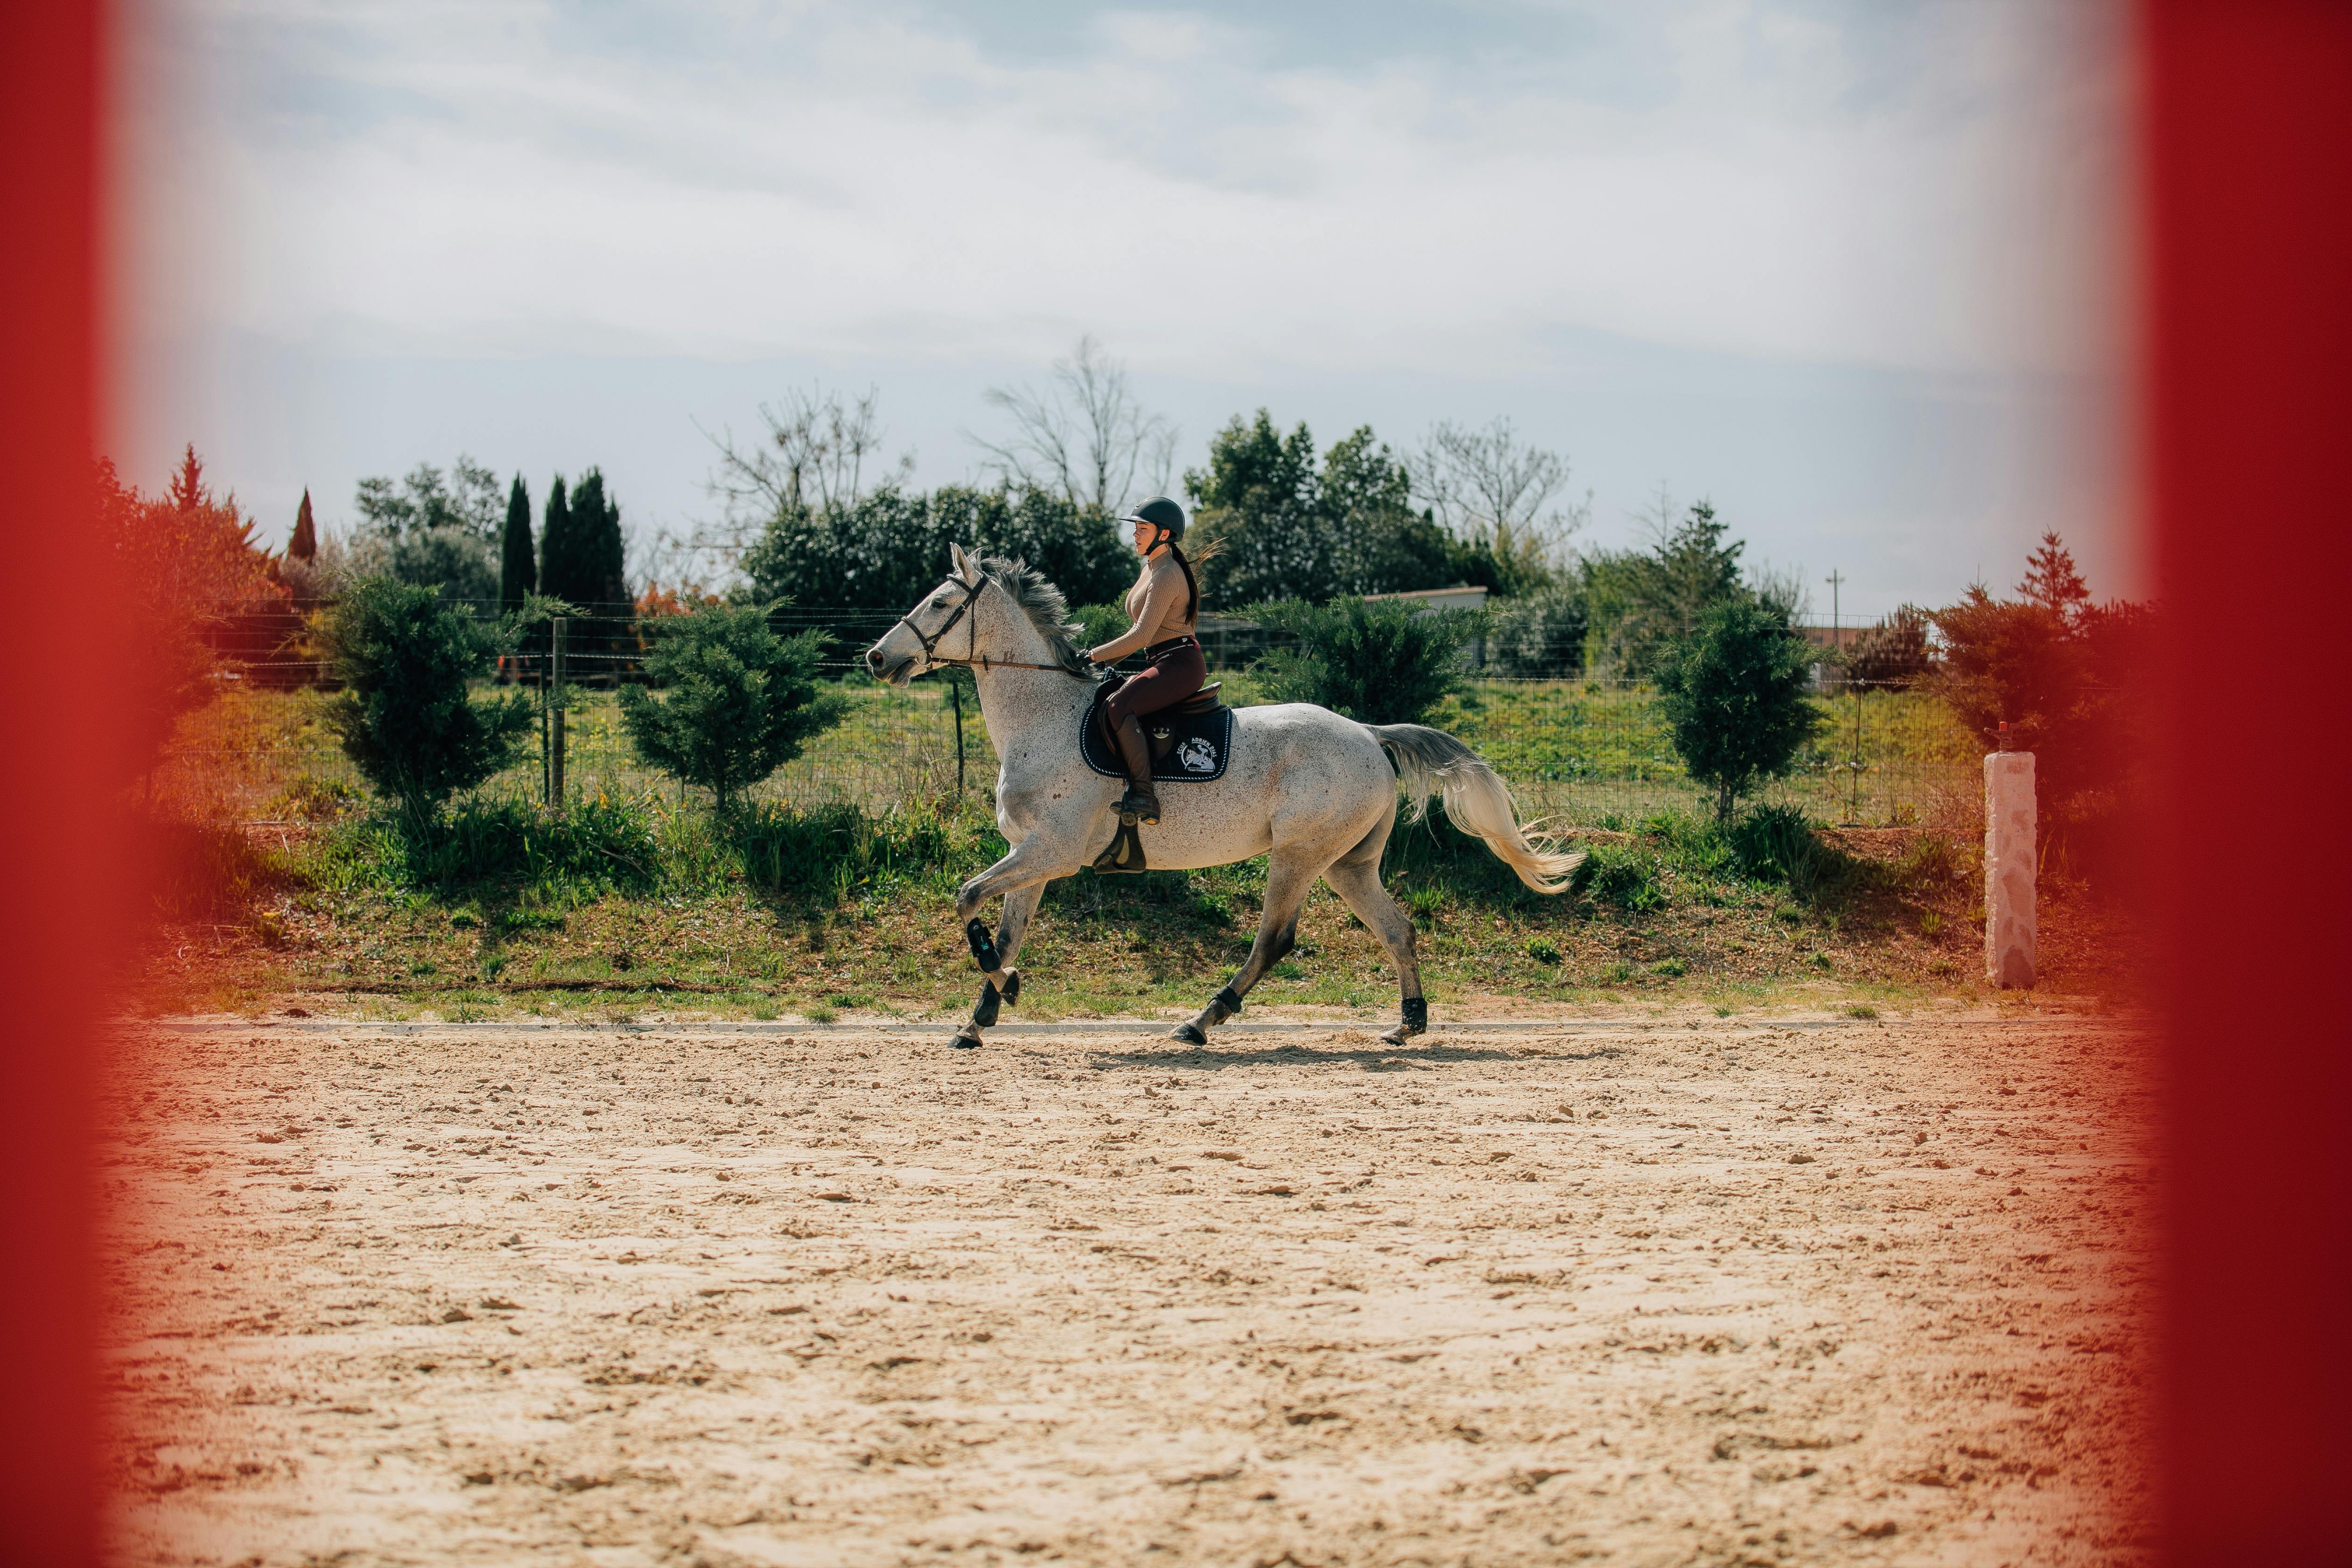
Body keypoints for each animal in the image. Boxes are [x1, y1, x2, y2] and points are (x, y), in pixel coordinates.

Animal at [863, 545, 1585, 1049]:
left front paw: (1002, 990)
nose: (875, 658)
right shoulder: (1032, 856)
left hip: (1298, 856)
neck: (1042, 716)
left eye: (938, 603)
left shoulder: (1054, 852)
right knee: (1396, 929)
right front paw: (979, 1018)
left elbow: (967, 900)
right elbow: (1006, 931)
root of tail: (1369, 734)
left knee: (1274, 941)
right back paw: (1408, 1023)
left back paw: (1201, 1022)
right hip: (1348, 864)